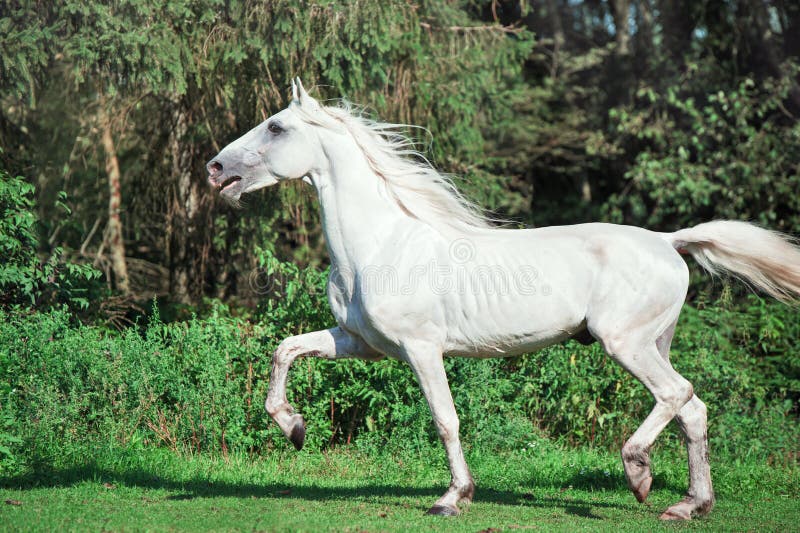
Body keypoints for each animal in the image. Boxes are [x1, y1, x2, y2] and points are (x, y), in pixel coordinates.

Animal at [207, 78, 800, 520]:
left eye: (276, 126)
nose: (215, 169)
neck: (381, 244)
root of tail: (668, 240)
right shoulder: (360, 343)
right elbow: (285, 349)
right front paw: (293, 427)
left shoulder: (421, 349)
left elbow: (445, 419)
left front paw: (452, 499)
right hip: (655, 342)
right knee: (693, 410)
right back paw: (689, 506)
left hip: (625, 343)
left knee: (677, 395)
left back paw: (639, 475)